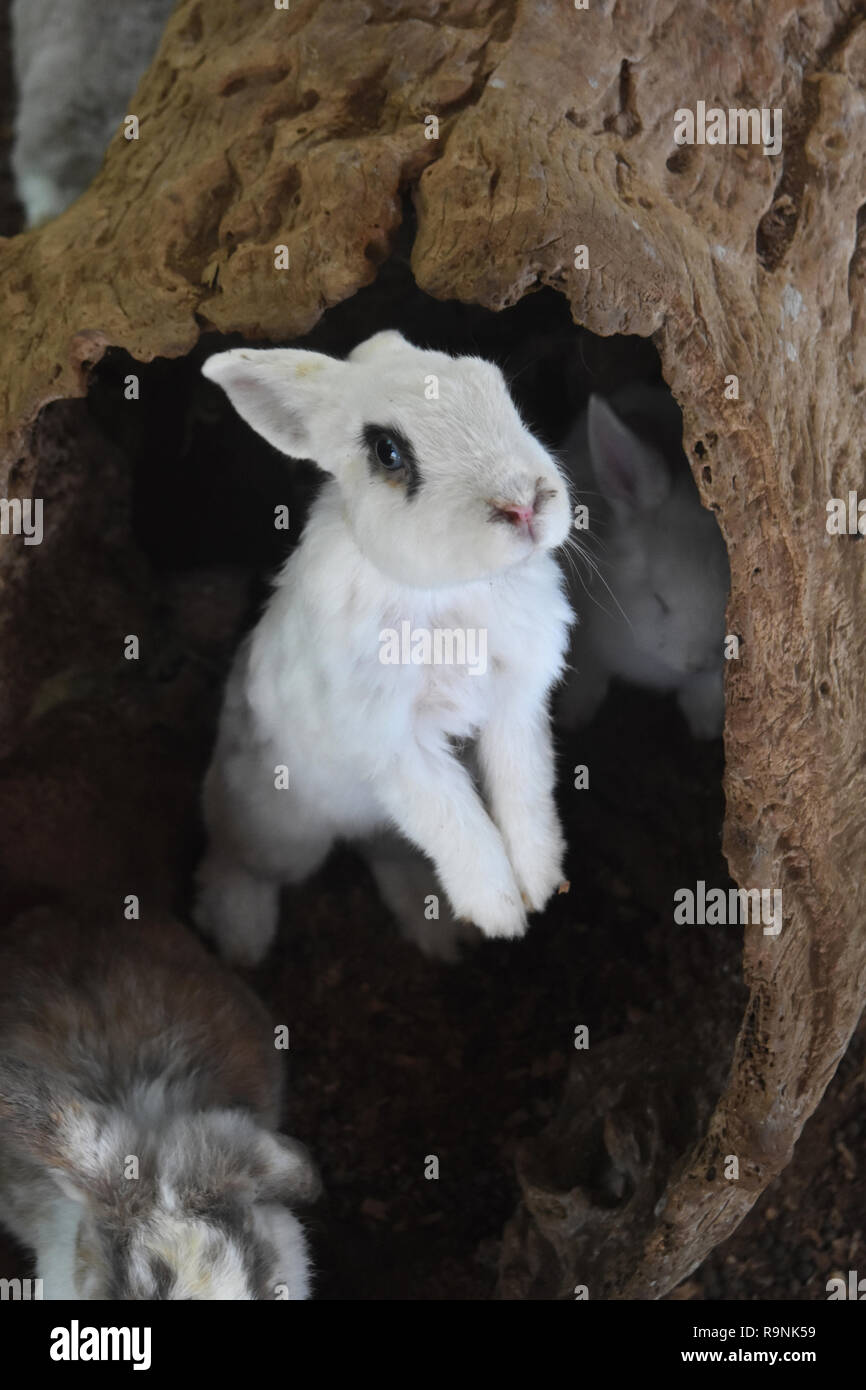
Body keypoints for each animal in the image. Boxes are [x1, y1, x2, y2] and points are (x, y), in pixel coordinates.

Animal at [194, 329, 574, 967]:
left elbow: (523, 794)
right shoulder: (395, 745)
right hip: (276, 826)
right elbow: (458, 821)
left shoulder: (515, 709)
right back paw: (239, 937)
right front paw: (500, 913)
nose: (523, 505)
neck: (446, 593)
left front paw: (540, 884)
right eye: (387, 453)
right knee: (239, 859)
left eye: (495, 388)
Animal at [558, 385, 729, 740]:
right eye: (658, 599)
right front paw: (572, 716)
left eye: (726, 596)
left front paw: (706, 725)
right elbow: (586, 672)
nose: (696, 662)